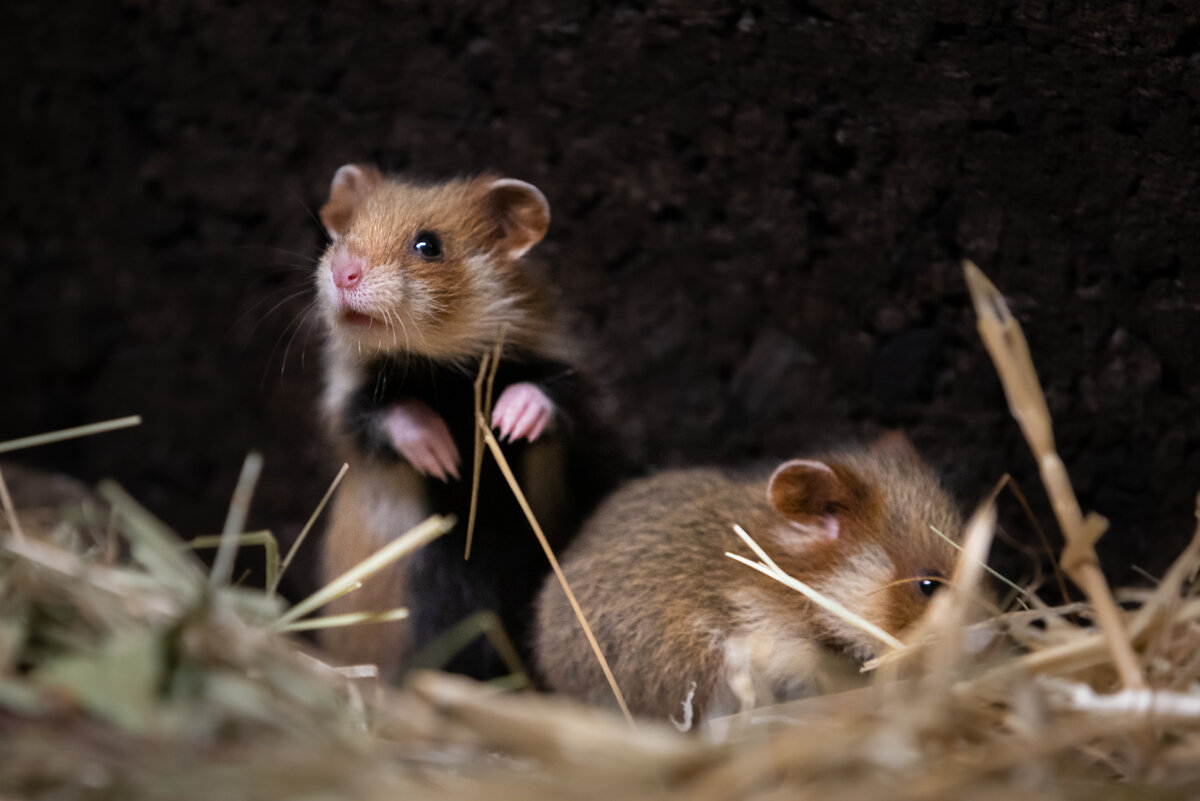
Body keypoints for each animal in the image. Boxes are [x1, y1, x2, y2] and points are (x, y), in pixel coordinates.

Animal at [314, 164, 620, 682]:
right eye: (345, 231)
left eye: (428, 245)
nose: (343, 272)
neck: (443, 367)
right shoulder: (347, 407)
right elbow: (392, 414)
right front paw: (444, 458)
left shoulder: (574, 379)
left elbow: (545, 392)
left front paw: (506, 424)